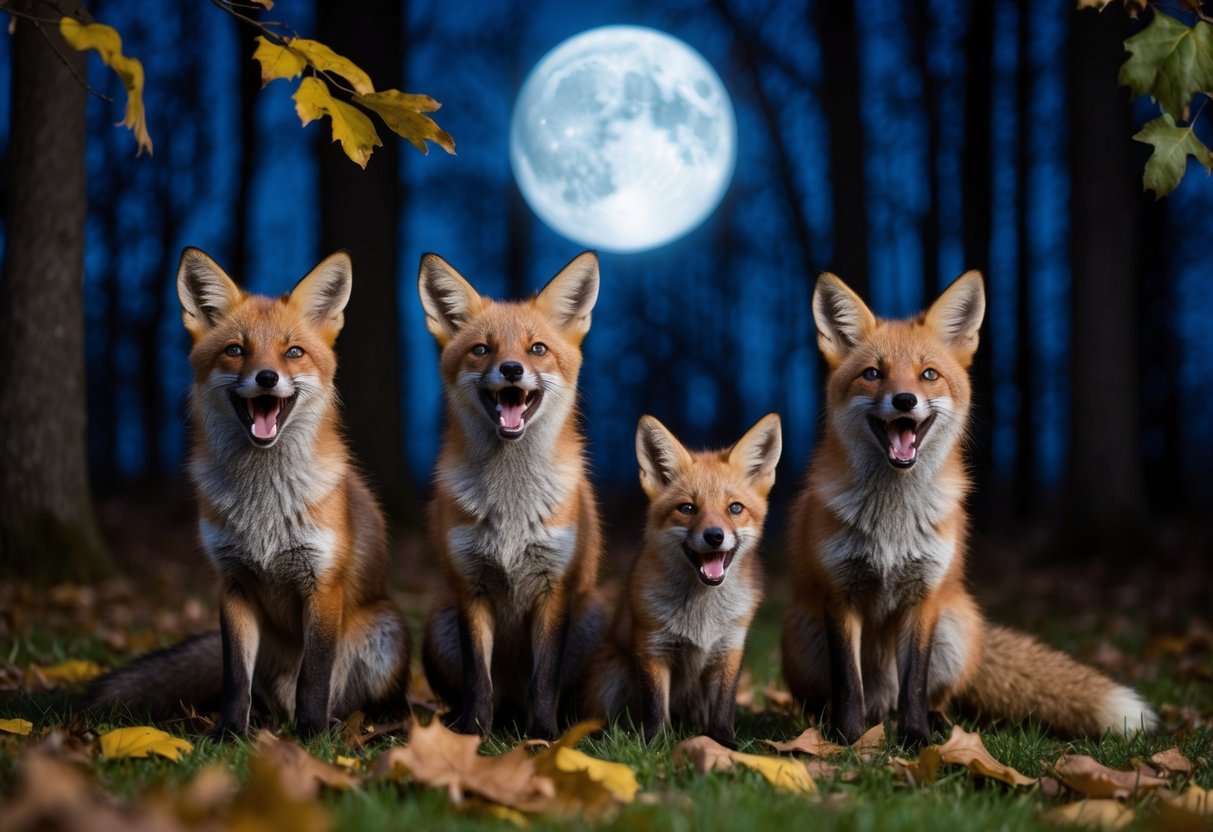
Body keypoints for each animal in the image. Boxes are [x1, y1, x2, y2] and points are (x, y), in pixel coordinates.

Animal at [86, 248, 411, 737]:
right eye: (236, 350)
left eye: (293, 351)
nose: (266, 377)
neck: (265, 508)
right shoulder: (233, 583)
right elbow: (234, 676)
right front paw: (227, 733)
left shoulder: (323, 585)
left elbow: (315, 677)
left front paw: (310, 734)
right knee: (265, 695)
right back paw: (265, 720)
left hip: (385, 631)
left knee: (359, 696)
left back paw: (362, 722)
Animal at [417, 251, 606, 739]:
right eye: (483, 349)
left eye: (536, 349)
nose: (511, 369)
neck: (511, 507)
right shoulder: (470, 587)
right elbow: (477, 679)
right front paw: (471, 734)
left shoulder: (553, 589)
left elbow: (545, 679)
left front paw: (545, 738)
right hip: (438, 619)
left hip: (591, 616)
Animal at [585, 414, 782, 747]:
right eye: (688, 508)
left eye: (735, 508)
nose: (714, 536)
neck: (702, 616)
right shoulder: (652, 647)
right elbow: (654, 706)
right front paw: (654, 746)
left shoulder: (729, 649)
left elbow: (723, 708)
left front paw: (725, 745)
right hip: (614, 667)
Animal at [781, 271, 1159, 746]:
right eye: (873, 374)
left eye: (928, 375)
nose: (904, 400)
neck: (892, 524)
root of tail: (881, 709)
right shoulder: (839, 595)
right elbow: (849, 683)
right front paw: (847, 740)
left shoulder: (924, 596)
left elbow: (916, 684)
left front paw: (916, 740)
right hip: (802, 635)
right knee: (836, 697)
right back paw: (831, 723)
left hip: (956, 626)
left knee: (930, 695)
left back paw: (937, 724)